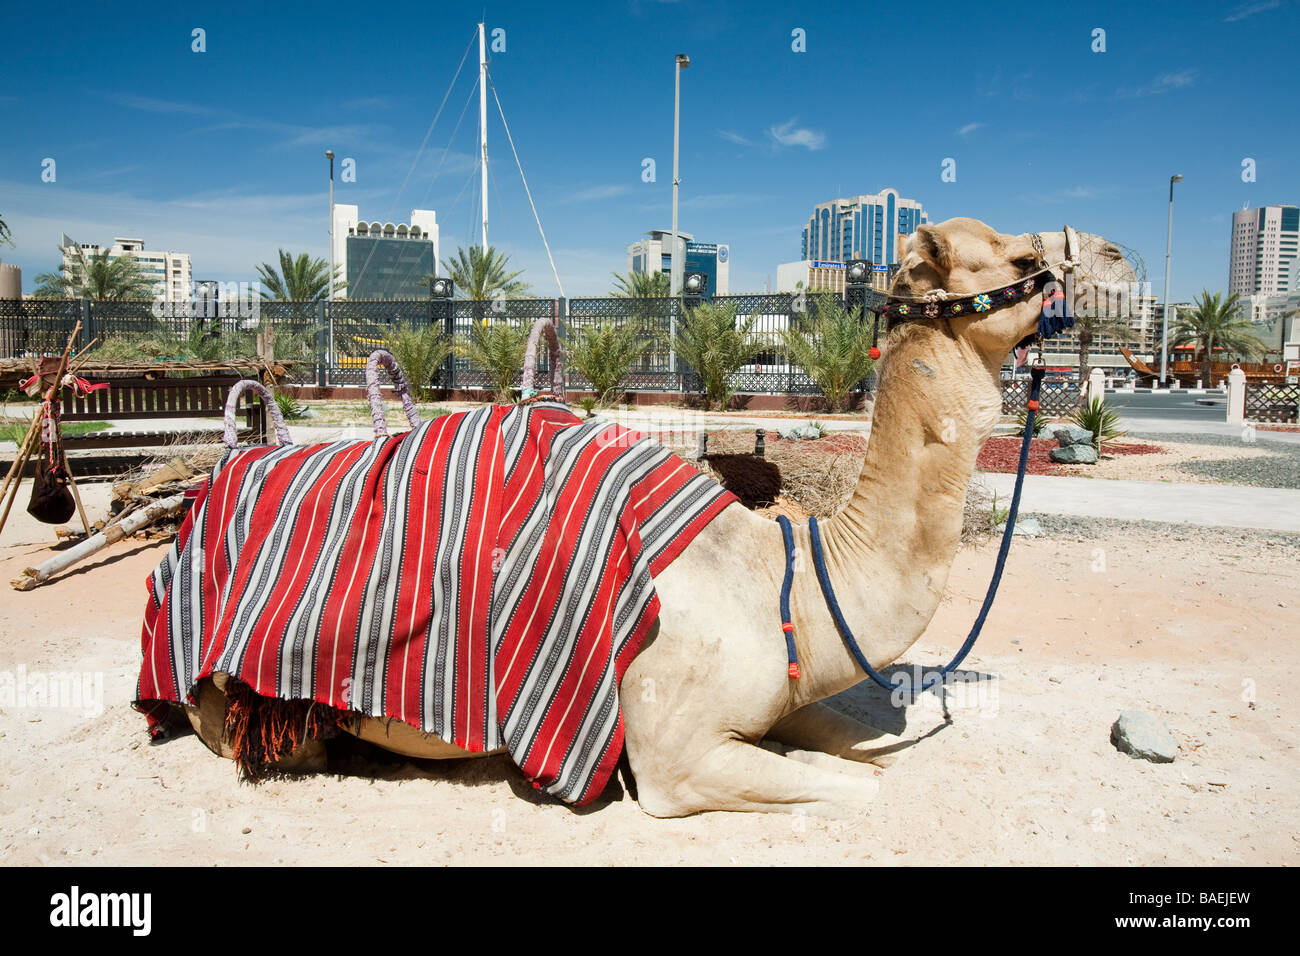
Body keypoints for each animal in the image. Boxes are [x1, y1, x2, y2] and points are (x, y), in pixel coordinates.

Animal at [185, 217, 1130, 817]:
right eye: (1015, 250)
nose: (1118, 255)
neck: (781, 576)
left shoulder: (783, 697)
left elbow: (851, 745)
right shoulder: (675, 760)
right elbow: (866, 785)